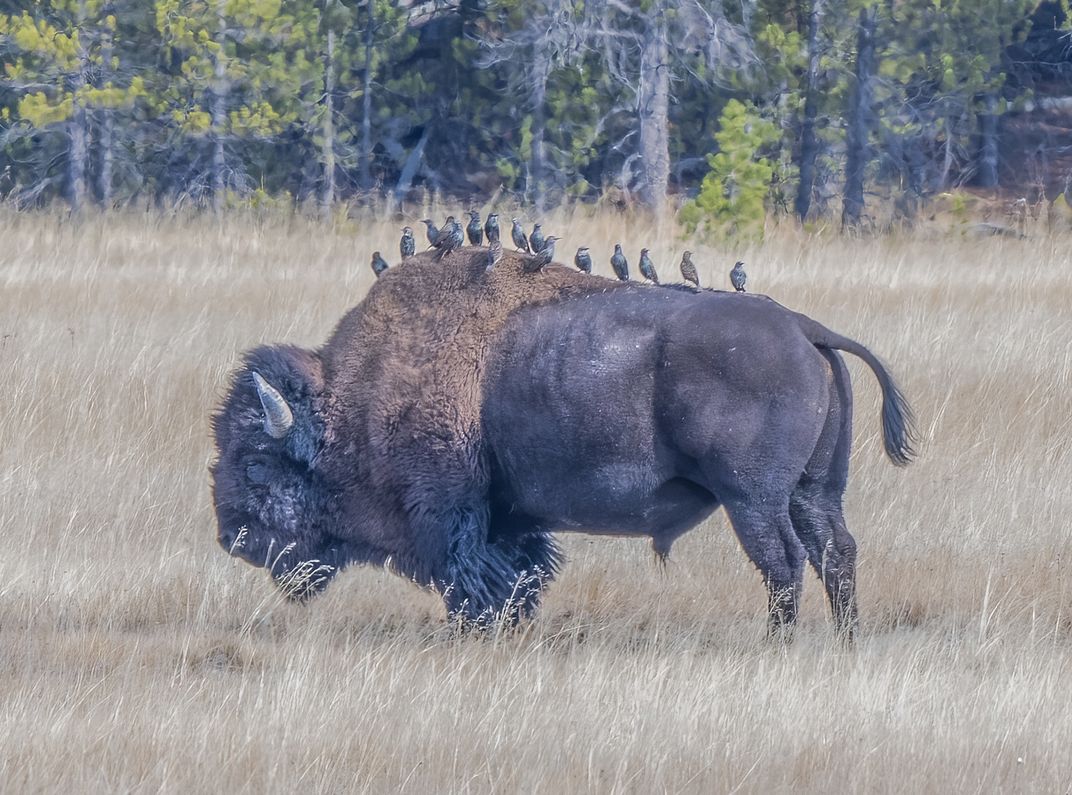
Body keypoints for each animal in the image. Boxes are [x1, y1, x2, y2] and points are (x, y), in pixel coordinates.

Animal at [211, 247, 915, 637]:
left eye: (256, 464)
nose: (231, 537)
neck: (358, 396)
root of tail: (803, 327)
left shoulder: (452, 516)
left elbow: (475, 580)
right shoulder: (505, 520)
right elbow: (519, 577)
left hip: (754, 500)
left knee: (784, 563)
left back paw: (779, 644)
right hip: (815, 490)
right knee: (835, 553)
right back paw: (845, 640)